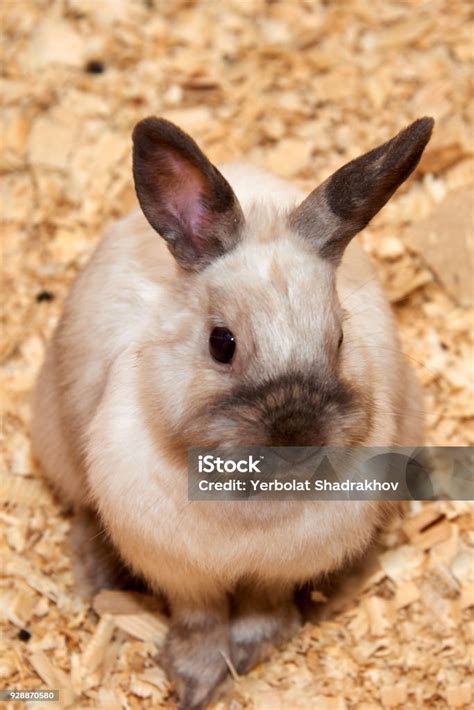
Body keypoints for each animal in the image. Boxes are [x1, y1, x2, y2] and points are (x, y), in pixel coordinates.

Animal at [31, 115, 433, 709]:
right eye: (222, 343)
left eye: (339, 337)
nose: (296, 432)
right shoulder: (182, 573)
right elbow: (199, 621)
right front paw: (193, 682)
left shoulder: (278, 571)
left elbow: (263, 609)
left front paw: (248, 653)